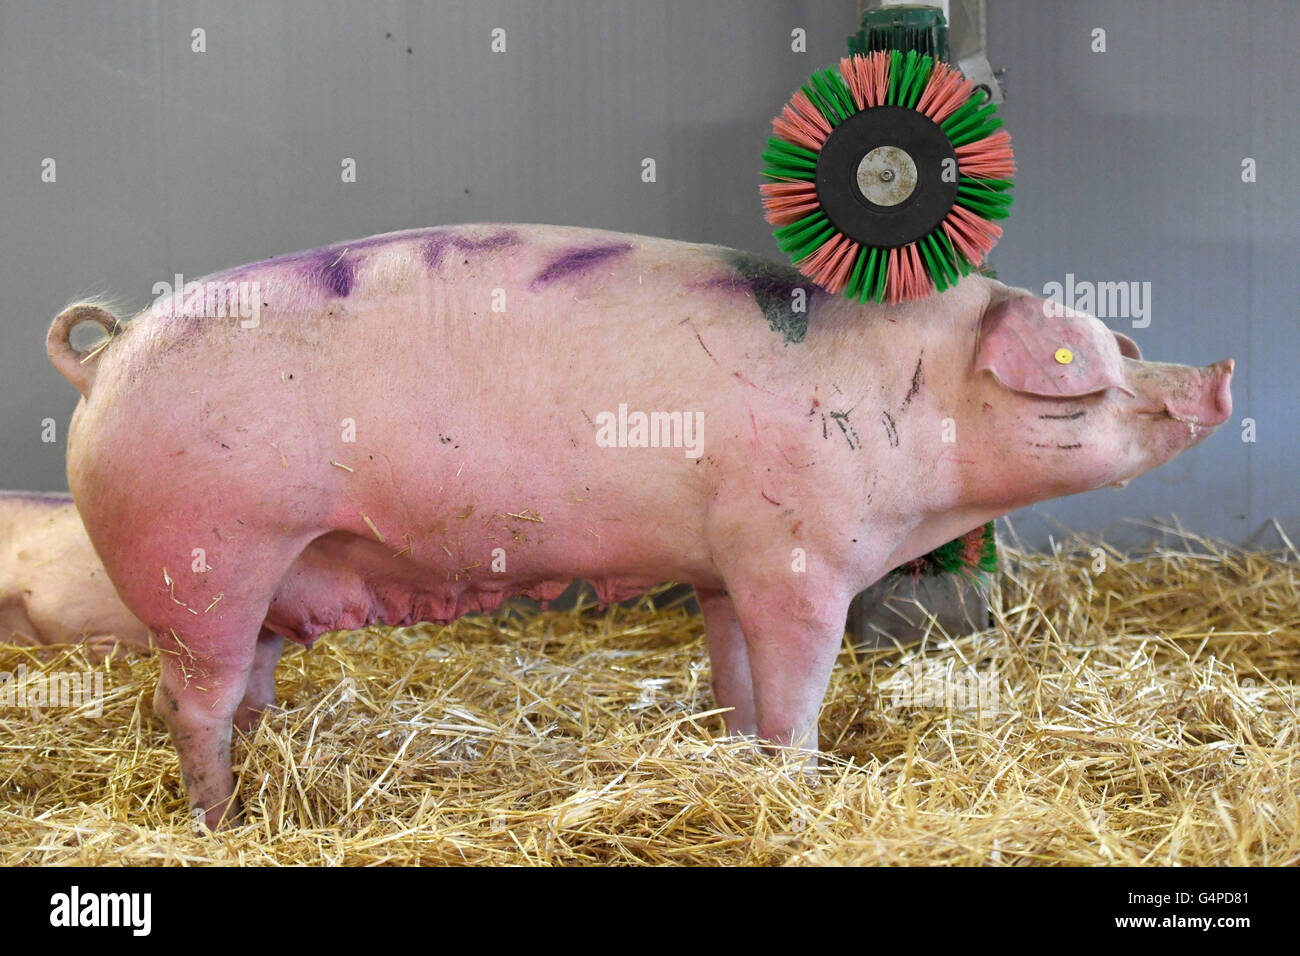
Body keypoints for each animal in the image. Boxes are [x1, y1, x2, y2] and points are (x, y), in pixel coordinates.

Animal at [45, 224, 1233, 828]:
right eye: (1087, 363)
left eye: (1124, 348)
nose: (1216, 373)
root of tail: (107, 355)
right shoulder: (800, 559)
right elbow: (798, 690)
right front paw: (801, 787)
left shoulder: (726, 565)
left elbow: (735, 675)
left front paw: (739, 756)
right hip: (203, 559)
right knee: (189, 701)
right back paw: (221, 821)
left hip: (252, 581)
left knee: (237, 688)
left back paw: (259, 776)